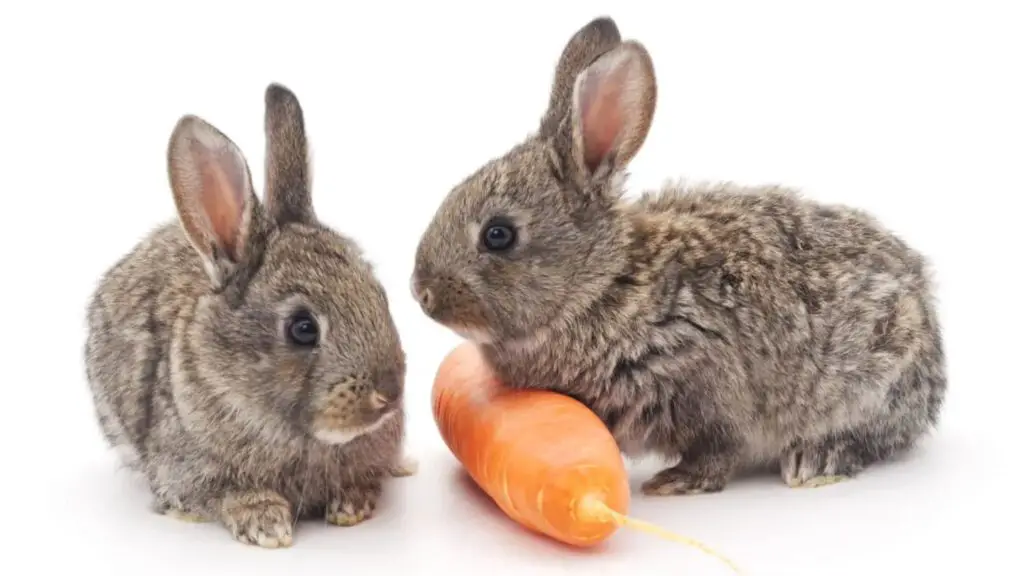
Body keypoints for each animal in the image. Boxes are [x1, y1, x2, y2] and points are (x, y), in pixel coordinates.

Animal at [84, 83, 416, 549]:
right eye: (302, 328)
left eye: (379, 294)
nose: (390, 393)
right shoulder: (191, 468)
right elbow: (225, 495)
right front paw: (266, 523)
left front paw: (351, 505)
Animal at [411, 16, 946, 496]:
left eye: (498, 235)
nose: (422, 293)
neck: (603, 287)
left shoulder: (701, 376)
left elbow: (719, 447)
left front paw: (678, 482)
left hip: (872, 379)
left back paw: (816, 460)